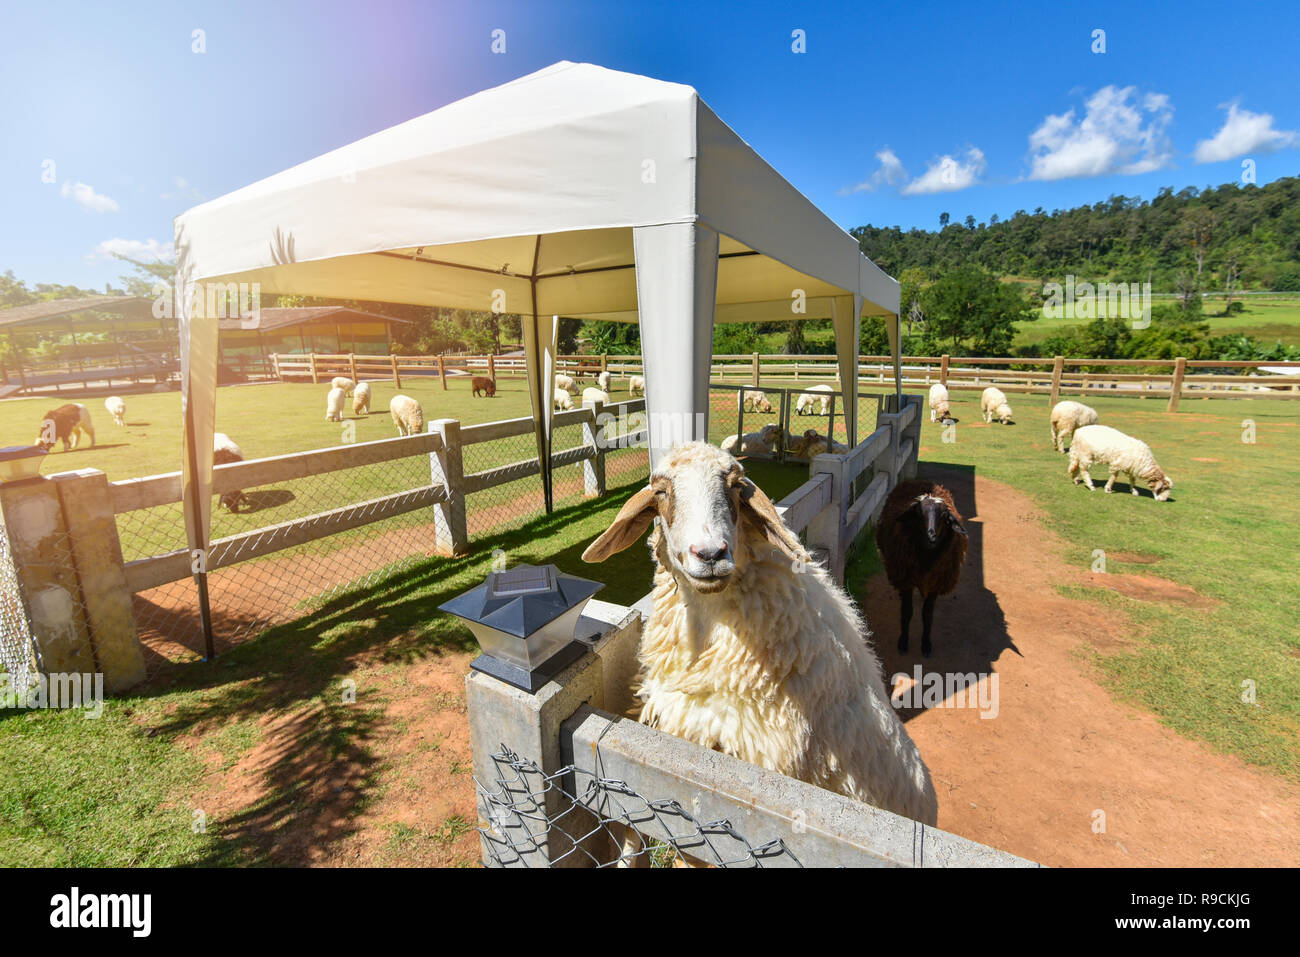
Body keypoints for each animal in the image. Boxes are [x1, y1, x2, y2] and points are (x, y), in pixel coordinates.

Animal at [876, 480, 969, 657]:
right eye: (919, 513)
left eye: (945, 516)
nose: (931, 537)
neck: (926, 558)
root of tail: (920, 480)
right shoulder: (906, 580)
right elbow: (907, 612)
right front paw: (903, 642)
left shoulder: (935, 583)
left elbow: (927, 615)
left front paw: (926, 643)